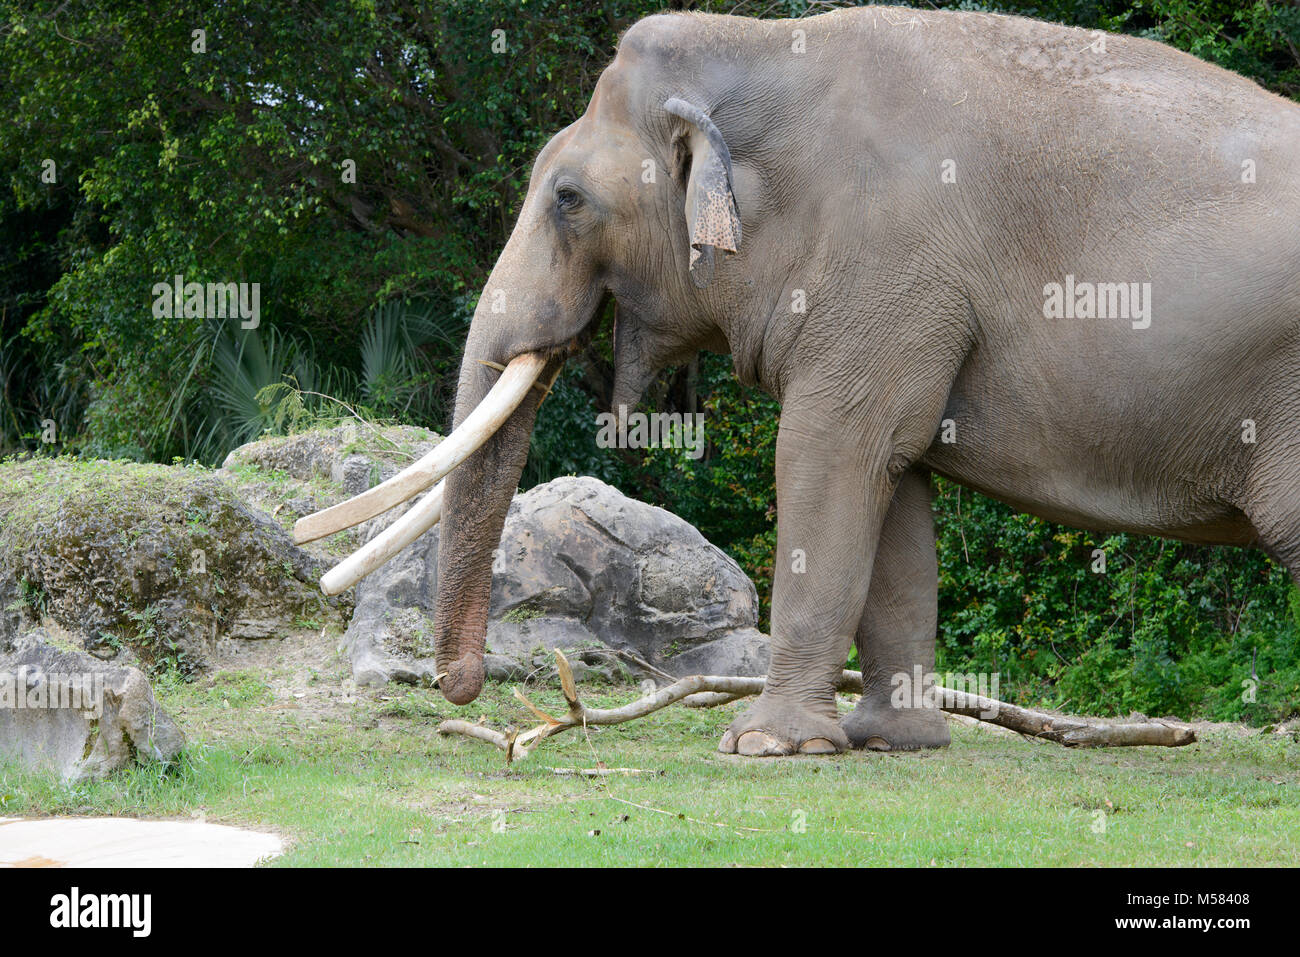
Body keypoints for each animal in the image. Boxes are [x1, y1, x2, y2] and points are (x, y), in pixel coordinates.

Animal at [301, 6, 1300, 755]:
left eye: (568, 199)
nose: (463, 690)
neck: (765, 42)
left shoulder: (883, 269)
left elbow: (825, 456)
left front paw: (763, 744)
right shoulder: (903, 304)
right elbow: (895, 485)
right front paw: (891, 740)